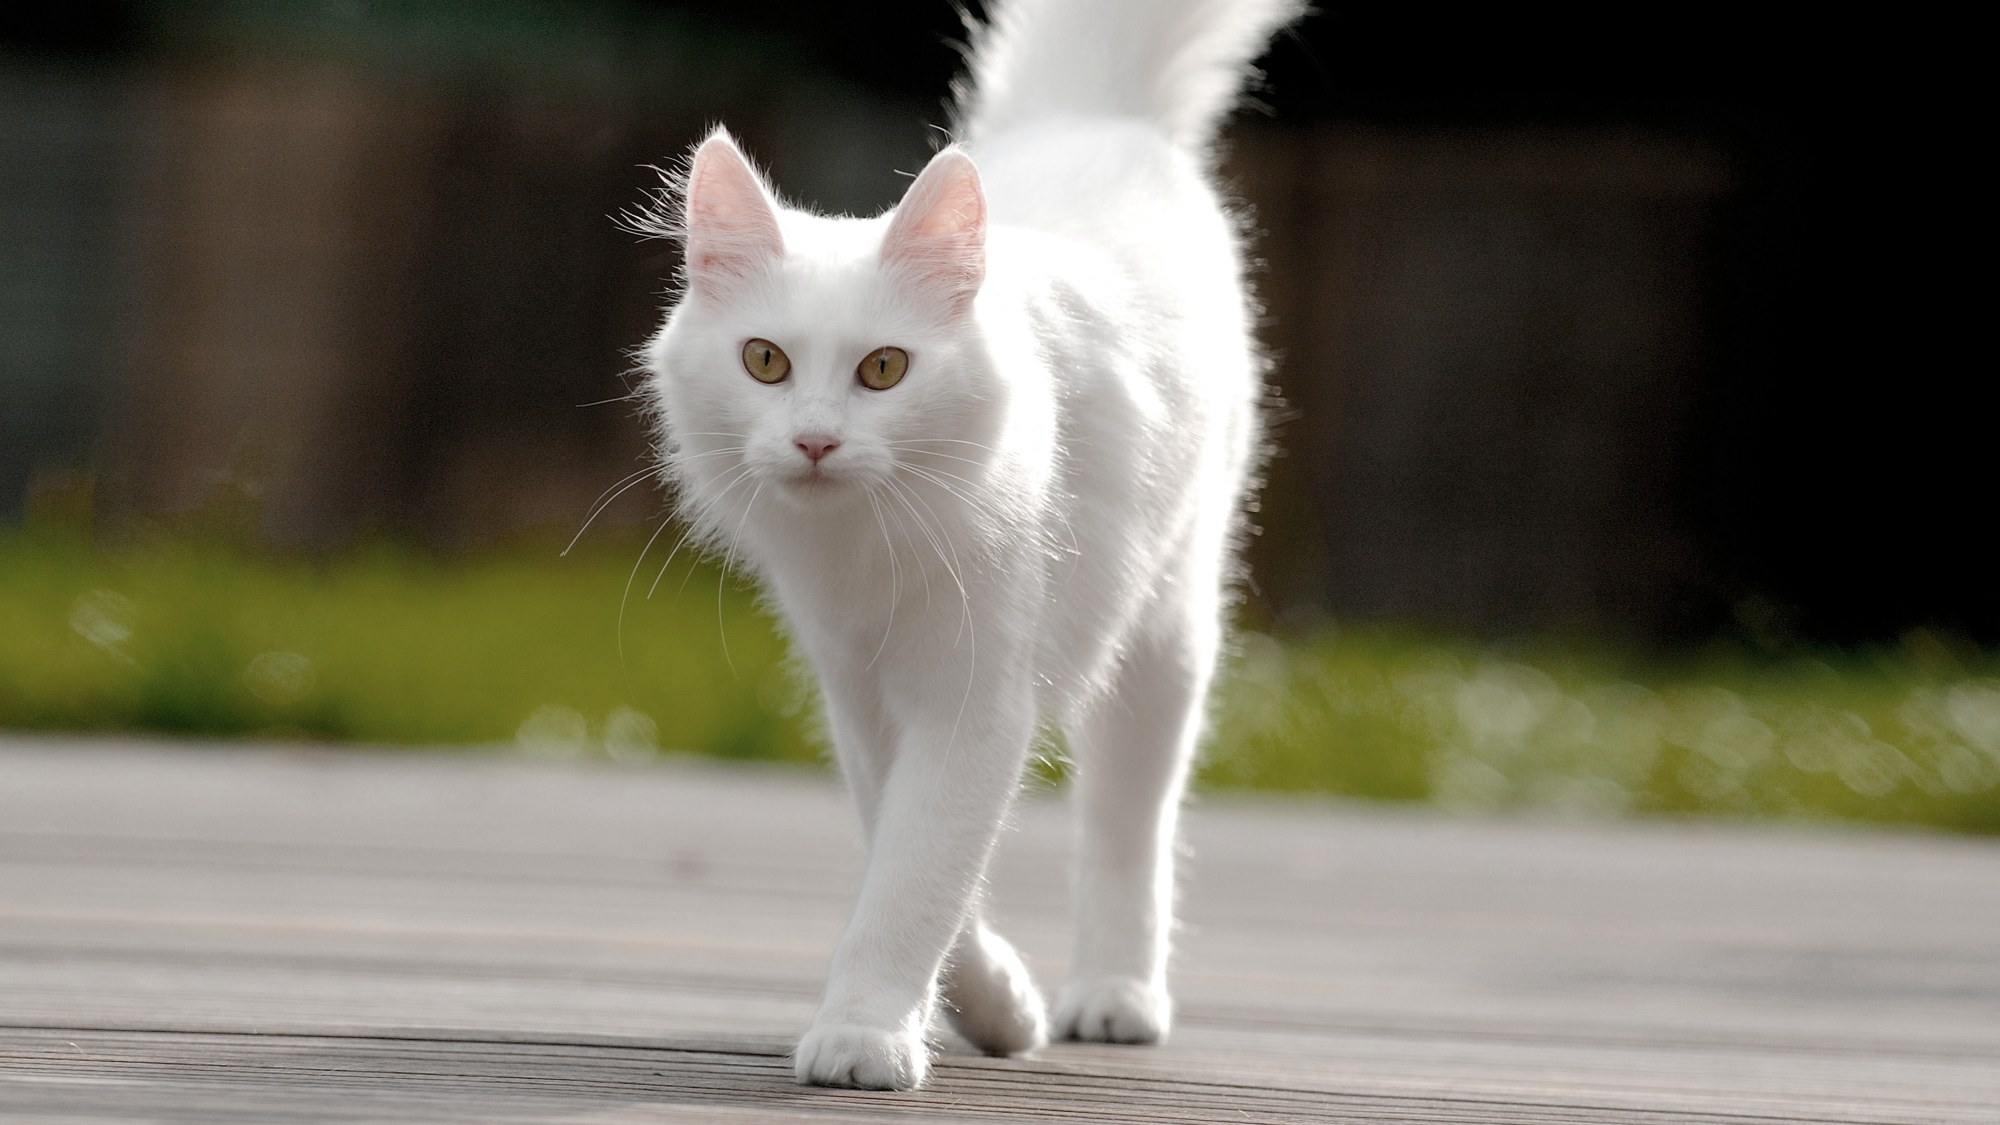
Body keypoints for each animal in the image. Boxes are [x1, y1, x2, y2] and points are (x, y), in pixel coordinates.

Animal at [636, 0, 1296, 1088]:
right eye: (765, 362)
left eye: (883, 369)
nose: (815, 440)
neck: (865, 547)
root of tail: (1091, 118)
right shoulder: (857, 690)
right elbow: (907, 853)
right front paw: (992, 1007)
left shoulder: (974, 696)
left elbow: (915, 880)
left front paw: (864, 1034)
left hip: (1163, 636)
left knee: (1129, 825)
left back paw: (1116, 995)